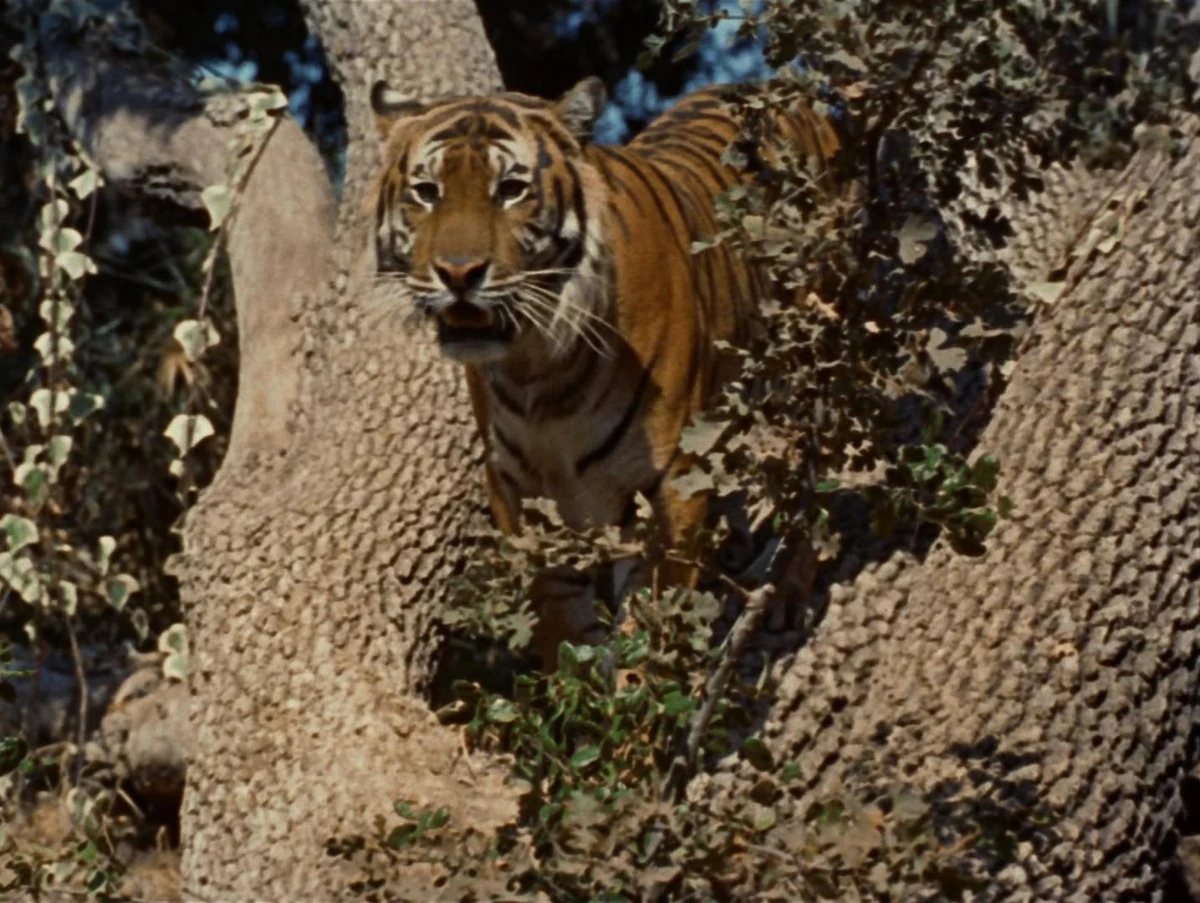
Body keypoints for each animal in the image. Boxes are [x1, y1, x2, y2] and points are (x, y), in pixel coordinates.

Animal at [369, 76, 840, 668]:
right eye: (428, 191)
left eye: (511, 189)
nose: (458, 274)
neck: (538, 369)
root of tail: (784, 85)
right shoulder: (519, 494)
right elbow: (562, 625)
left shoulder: (669, 483)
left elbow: (648, 631)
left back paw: (784, 596)